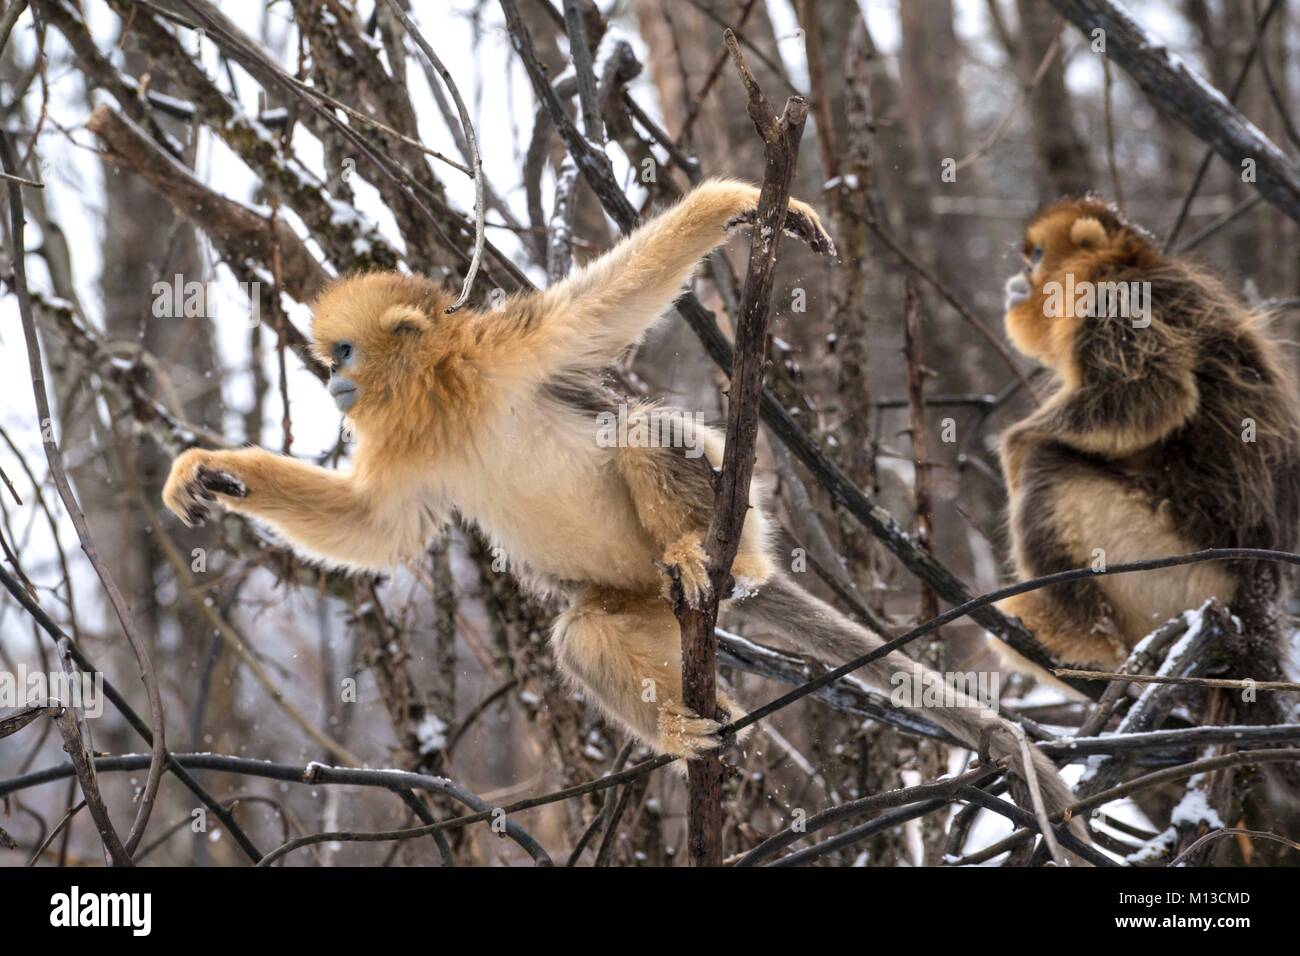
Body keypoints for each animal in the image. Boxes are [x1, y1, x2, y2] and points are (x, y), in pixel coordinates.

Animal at [163, 179, 1087, 841]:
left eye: (345, 351)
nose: (332, 383)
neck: (446, 398)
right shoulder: (405, 453)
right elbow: (381, 532)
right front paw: (212, 474)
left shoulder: (515, 346)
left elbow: (618, 299)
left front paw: (744, 201)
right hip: (633, 601)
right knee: (582, 636)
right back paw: (685, 727)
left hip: (730, 513)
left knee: (639, 429)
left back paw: (720, 561)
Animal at [997, 196, 1300, 674]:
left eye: (1038, 256)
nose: (1018, 280)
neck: (1122, 265)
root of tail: (1253, 602)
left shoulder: (1119, 302)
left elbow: (1154, 395)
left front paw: (1013, 444)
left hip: (1170, 568)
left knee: (1047, 464)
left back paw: (1076, 637)